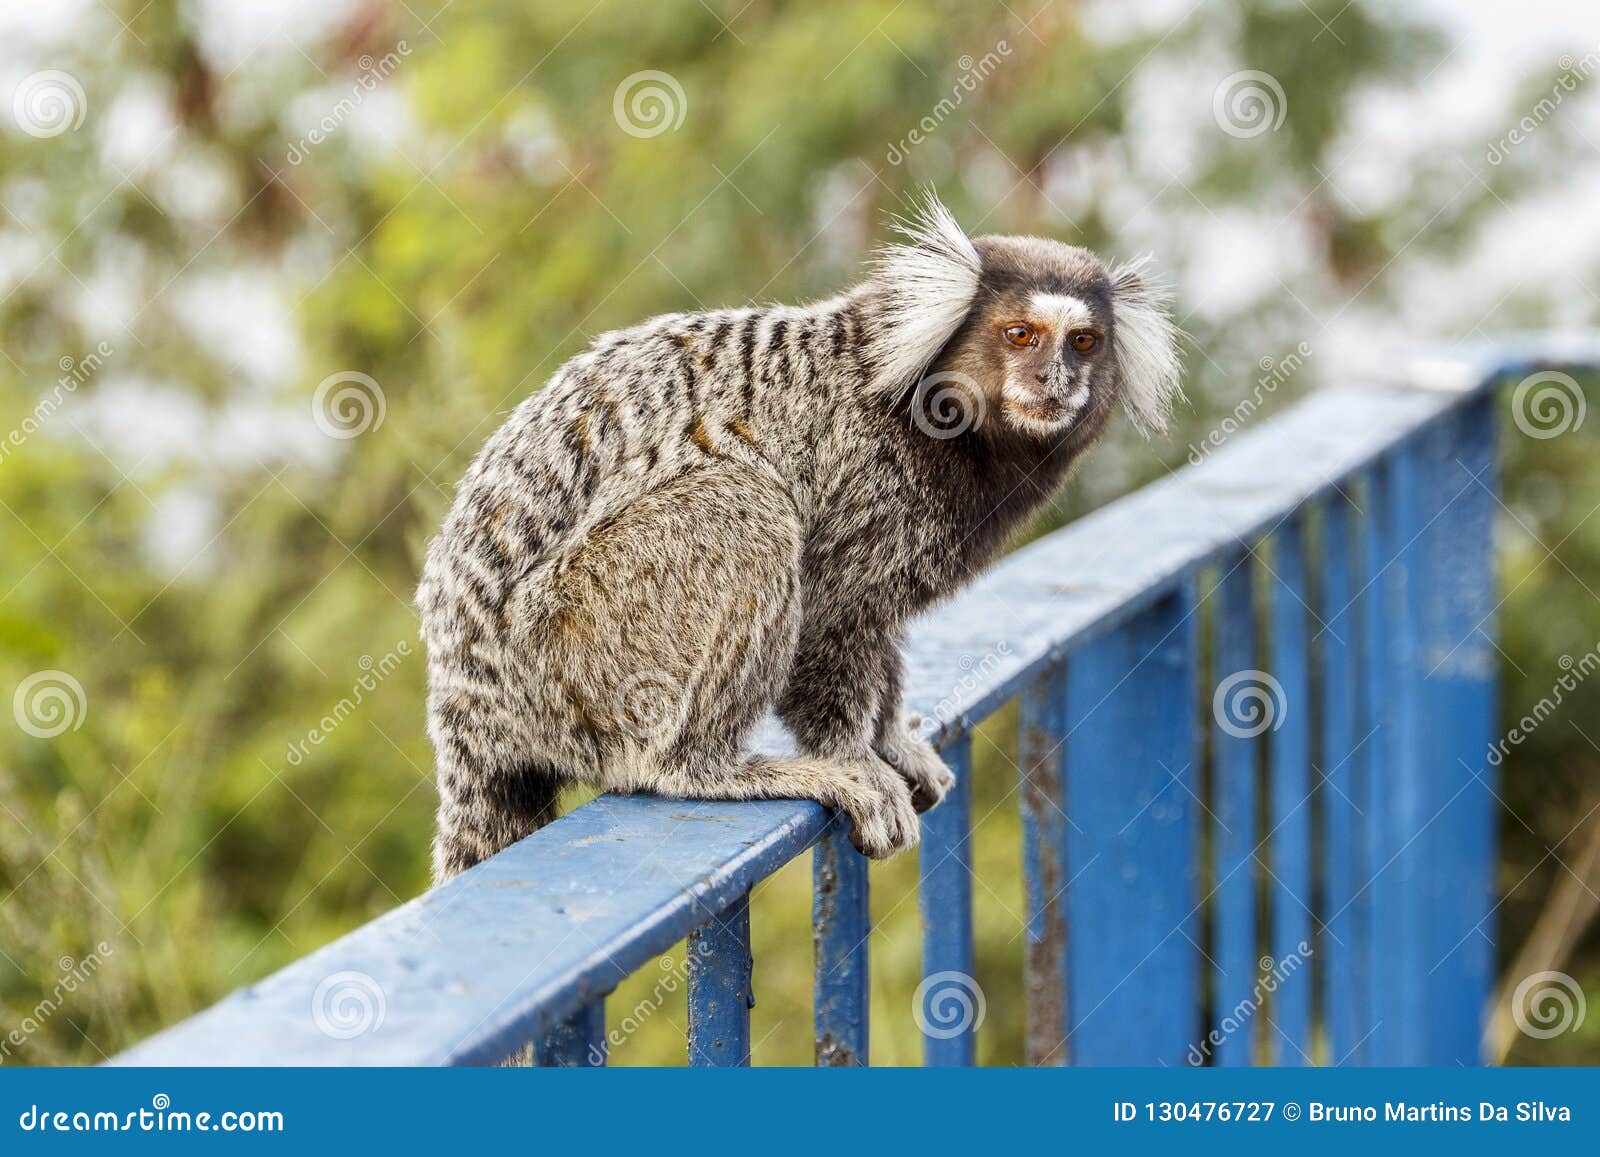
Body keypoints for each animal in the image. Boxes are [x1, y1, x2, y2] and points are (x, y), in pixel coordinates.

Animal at [417, 195, 1180, 882]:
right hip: (567, 645)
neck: (922, 411)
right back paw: (707, 769)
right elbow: (828, 622)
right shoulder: (862, 476)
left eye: (1084, 342)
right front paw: (853, 756)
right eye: (1021, 334)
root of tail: (464, 694)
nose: (1056, 379)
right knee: (746, 506)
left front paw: (891, 739)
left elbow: (878, 632)